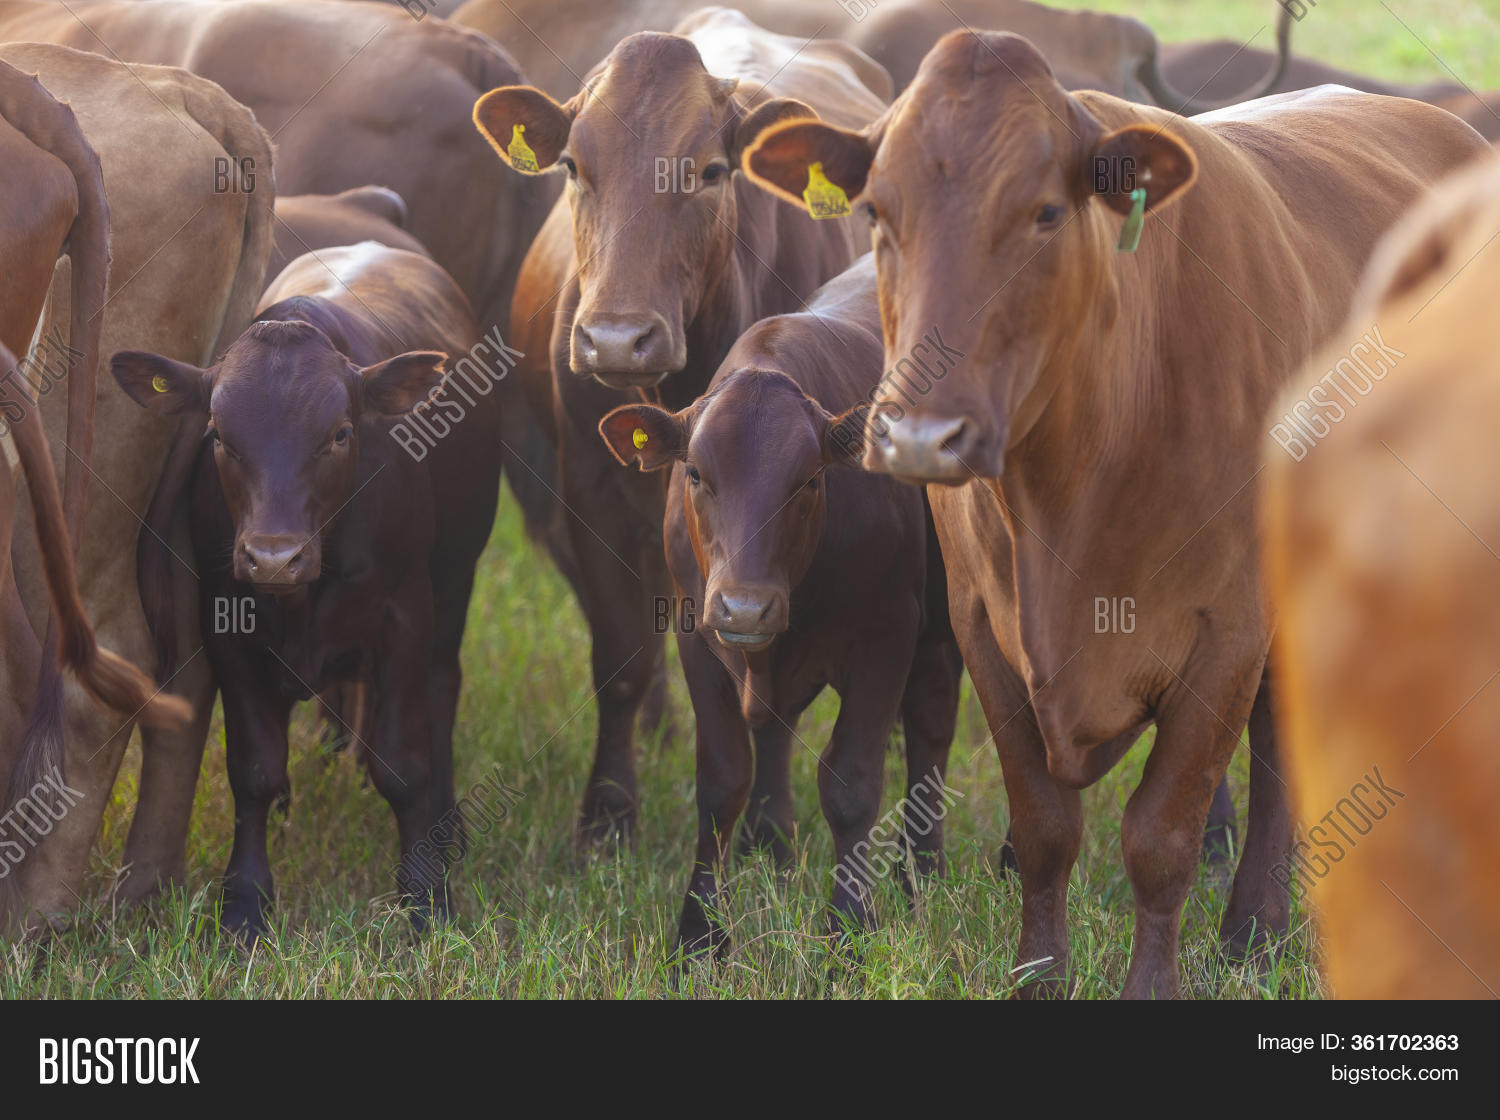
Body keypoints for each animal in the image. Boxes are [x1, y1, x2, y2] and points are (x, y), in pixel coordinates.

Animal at [110, 242, 501, 938]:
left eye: (340, 434)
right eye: (219, 436)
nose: (274, 557)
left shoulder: (406, 611)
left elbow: (403, 763)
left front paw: (427, 900)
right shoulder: (226, 622)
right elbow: (255, 767)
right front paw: (244, 904)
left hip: (455, 578)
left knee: (441, 687)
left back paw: (446, 824)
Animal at [477, 9, 887, 845]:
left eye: (708, 171)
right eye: (573, 166)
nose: (615, 339)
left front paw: (770, 823)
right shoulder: (589, 497)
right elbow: (623, 660)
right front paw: (608, 814)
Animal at [598, 255, 962, 953]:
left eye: (810, 480)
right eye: (695, 474)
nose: (745, 609)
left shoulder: (887, 637)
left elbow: (851, 786)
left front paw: (848, 930)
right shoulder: (696, 634)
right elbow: (721, 782)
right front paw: (699, 935)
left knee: (932, 731)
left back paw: (923, 875)